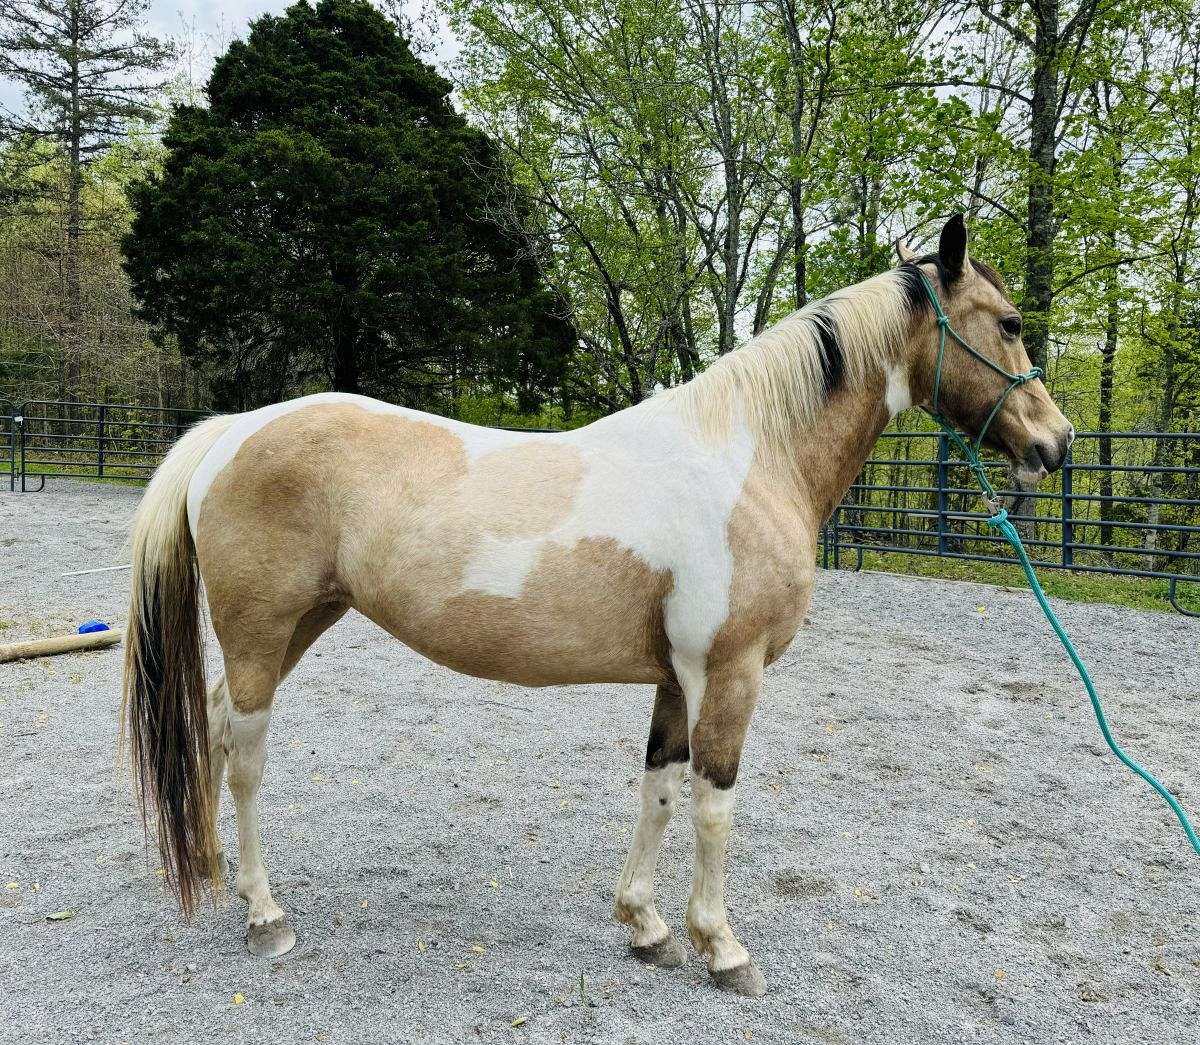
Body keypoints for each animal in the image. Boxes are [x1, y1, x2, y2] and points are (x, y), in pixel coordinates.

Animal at [121, 215, 1073, 997]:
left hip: (298, 625)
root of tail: (232, 429)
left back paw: (213, 873)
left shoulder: (676, 679)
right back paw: (264, 914)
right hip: (262, 635)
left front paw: (647, 927)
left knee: (213, 728)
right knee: (245, 760)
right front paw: (723, 947)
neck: (747, 459)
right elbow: (715, 804)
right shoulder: (730, 673)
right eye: (1010, 321)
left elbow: (659, 789)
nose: (1055, 443)